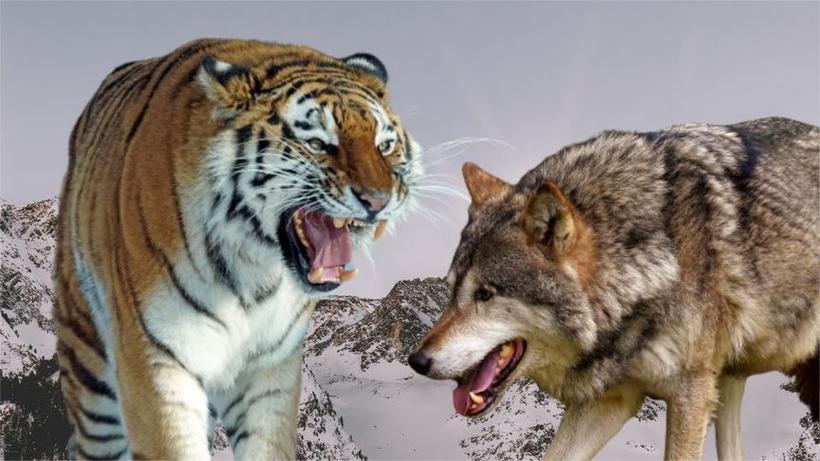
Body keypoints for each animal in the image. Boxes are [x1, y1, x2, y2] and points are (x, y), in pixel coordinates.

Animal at [53, 38, 423, 460]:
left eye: (384, 146)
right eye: (318, 144)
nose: (378, 200)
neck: (252, 269)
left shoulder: (270, 369)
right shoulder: (156, 360)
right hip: (88, 367)